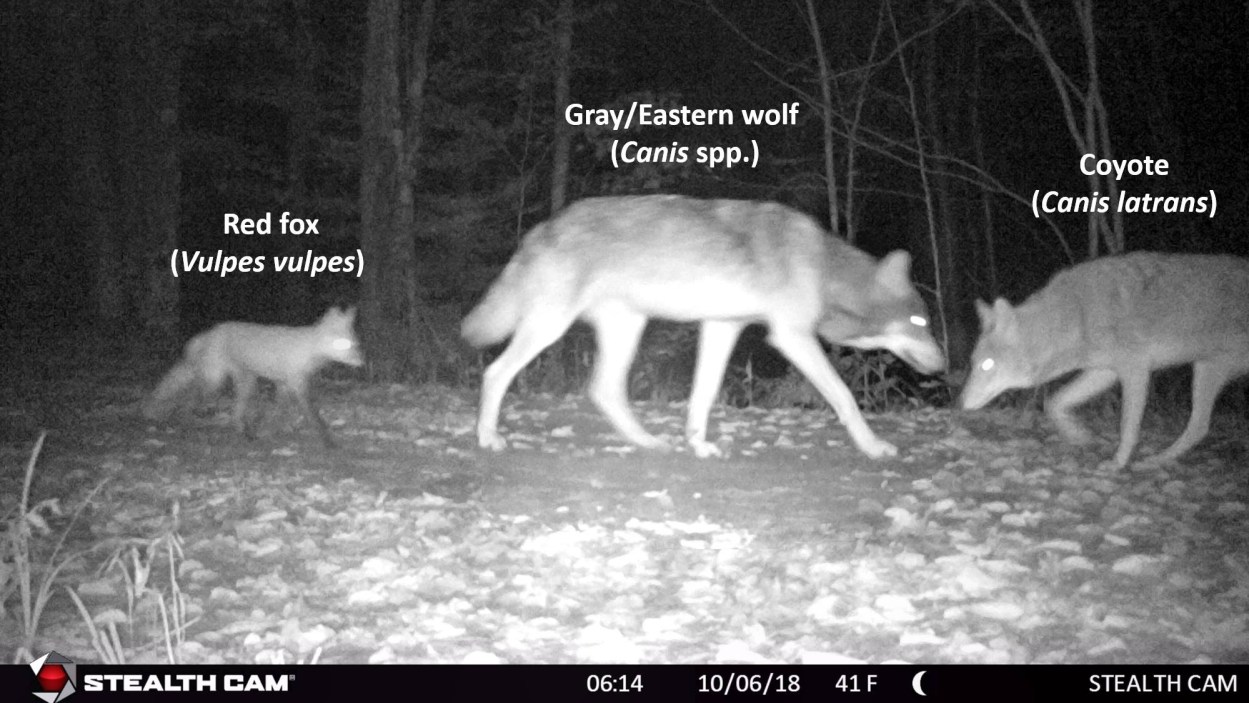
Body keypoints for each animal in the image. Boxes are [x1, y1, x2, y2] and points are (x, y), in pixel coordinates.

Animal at [143, 306, 364, 447]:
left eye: (355, 343)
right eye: (345, 344)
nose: (362, 361)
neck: (307, 351)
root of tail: (209, 332)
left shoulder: (283, 384)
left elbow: (276, 412)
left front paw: (267, 431)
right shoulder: (296, 384)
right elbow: (313, 416)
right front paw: (328, 442)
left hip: (246, 383)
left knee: (234, 413)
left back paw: (245, 434)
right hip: (214, 383)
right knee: (187, 401)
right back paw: (184, 426)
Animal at [461, 194, 946, 459]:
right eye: (920, 321)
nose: (943, 365)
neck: (824, 267)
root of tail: (542, 227)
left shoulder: (722, 327)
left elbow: (703, 396)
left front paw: (698, 445)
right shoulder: (791, 336)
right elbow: (844, 396)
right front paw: (873, 447)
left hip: (627, 328)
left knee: (604, 390)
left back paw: (648, 443)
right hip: (551, 326)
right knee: (496, 372)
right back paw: (488, 437)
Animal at [961, 252, 1249, 468]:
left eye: (987, 365)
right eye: (973, 363)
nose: (959, 403)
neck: (1077, 314)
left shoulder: (1135, 369)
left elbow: (1128, 426)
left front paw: (1117, 463)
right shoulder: (1104, 371)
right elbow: (1054, 402)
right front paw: (1079, 436)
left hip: (1206, 371)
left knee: (1198, 425)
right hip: (1204, 370)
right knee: (1199, 426)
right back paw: (1158, 460)